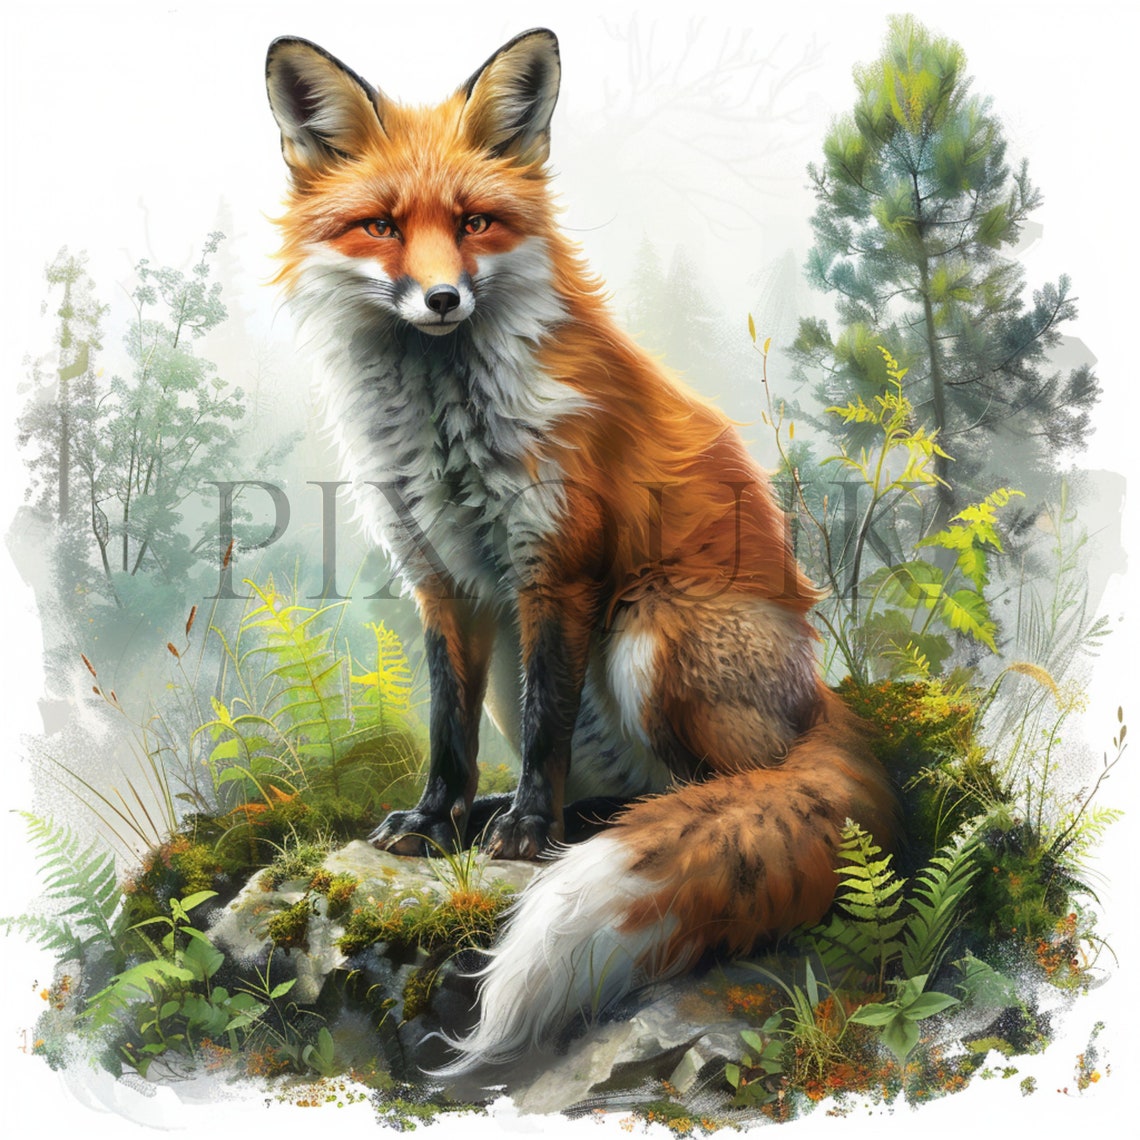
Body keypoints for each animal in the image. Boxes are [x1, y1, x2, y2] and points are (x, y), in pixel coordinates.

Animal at [265, 28, 896, 1072]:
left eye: (476, 222)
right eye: (382, 227)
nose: (441, 298)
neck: (441, 424)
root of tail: (821, 702)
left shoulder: (557, 570)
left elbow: (547, 726)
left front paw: (526, 832)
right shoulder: (444, 582)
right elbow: (447, 727)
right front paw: (437, 820)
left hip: (652, 633)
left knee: (718, 788)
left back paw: (576, 826)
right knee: (630, 782)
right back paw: (529, 817)